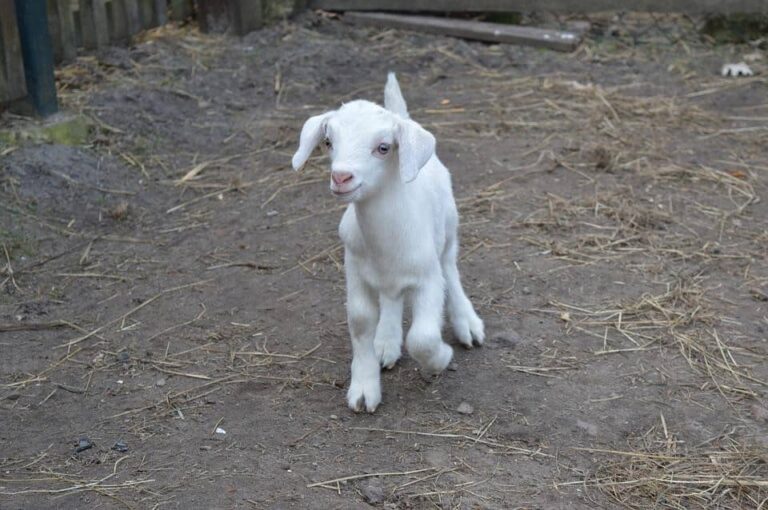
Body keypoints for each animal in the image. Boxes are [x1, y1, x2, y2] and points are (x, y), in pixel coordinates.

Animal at [292, 73, 484, 413]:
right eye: (329, 142)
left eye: (383, 147)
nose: (341, 178)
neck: (385, 238)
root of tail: (405, 119)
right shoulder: (354, 269)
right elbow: (360, 321)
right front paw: (364, 387)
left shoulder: (427, 278)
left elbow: (422, 337)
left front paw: (440, 359)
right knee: (391, 298)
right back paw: (386, 340)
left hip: (449, 228)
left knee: (450, 268)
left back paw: (467, 323)